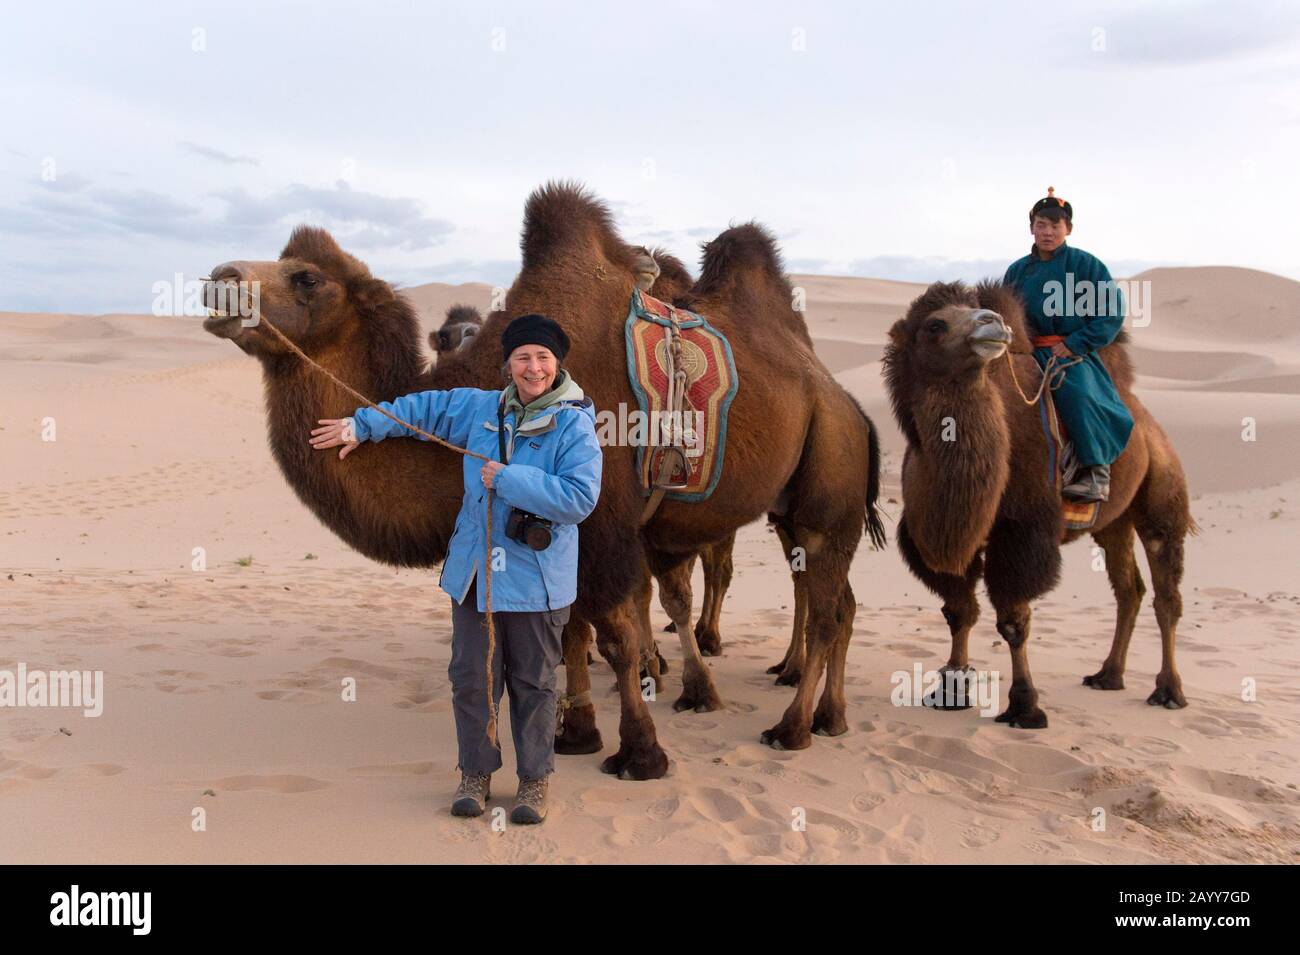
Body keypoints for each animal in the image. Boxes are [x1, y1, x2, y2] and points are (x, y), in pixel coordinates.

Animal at [202, 181, 885, 779]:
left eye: (307, 277)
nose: (219, 281)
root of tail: (848, 402)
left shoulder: (603, 522)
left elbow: (614, 632)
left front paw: (641, 754)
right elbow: (573, 630)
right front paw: (576, 732)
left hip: (828, 481)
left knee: (825, 608)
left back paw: (791, 727)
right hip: (792, 502)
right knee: (838, 602)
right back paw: (830, 717)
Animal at [881, 280, 1194, 728]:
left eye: (975, 309)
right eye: (935, 325)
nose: (992, 323)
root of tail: (1147, 422)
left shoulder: (1020, 532)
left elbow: (1014, 622)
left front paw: (1025, 706)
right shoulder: (937, 537)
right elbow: (958, 610)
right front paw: (950, 690)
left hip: (1162, 497)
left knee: (1166, 592)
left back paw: (1168, 691)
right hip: (1112, 524)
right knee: (1128, 590)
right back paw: (1108, 675)